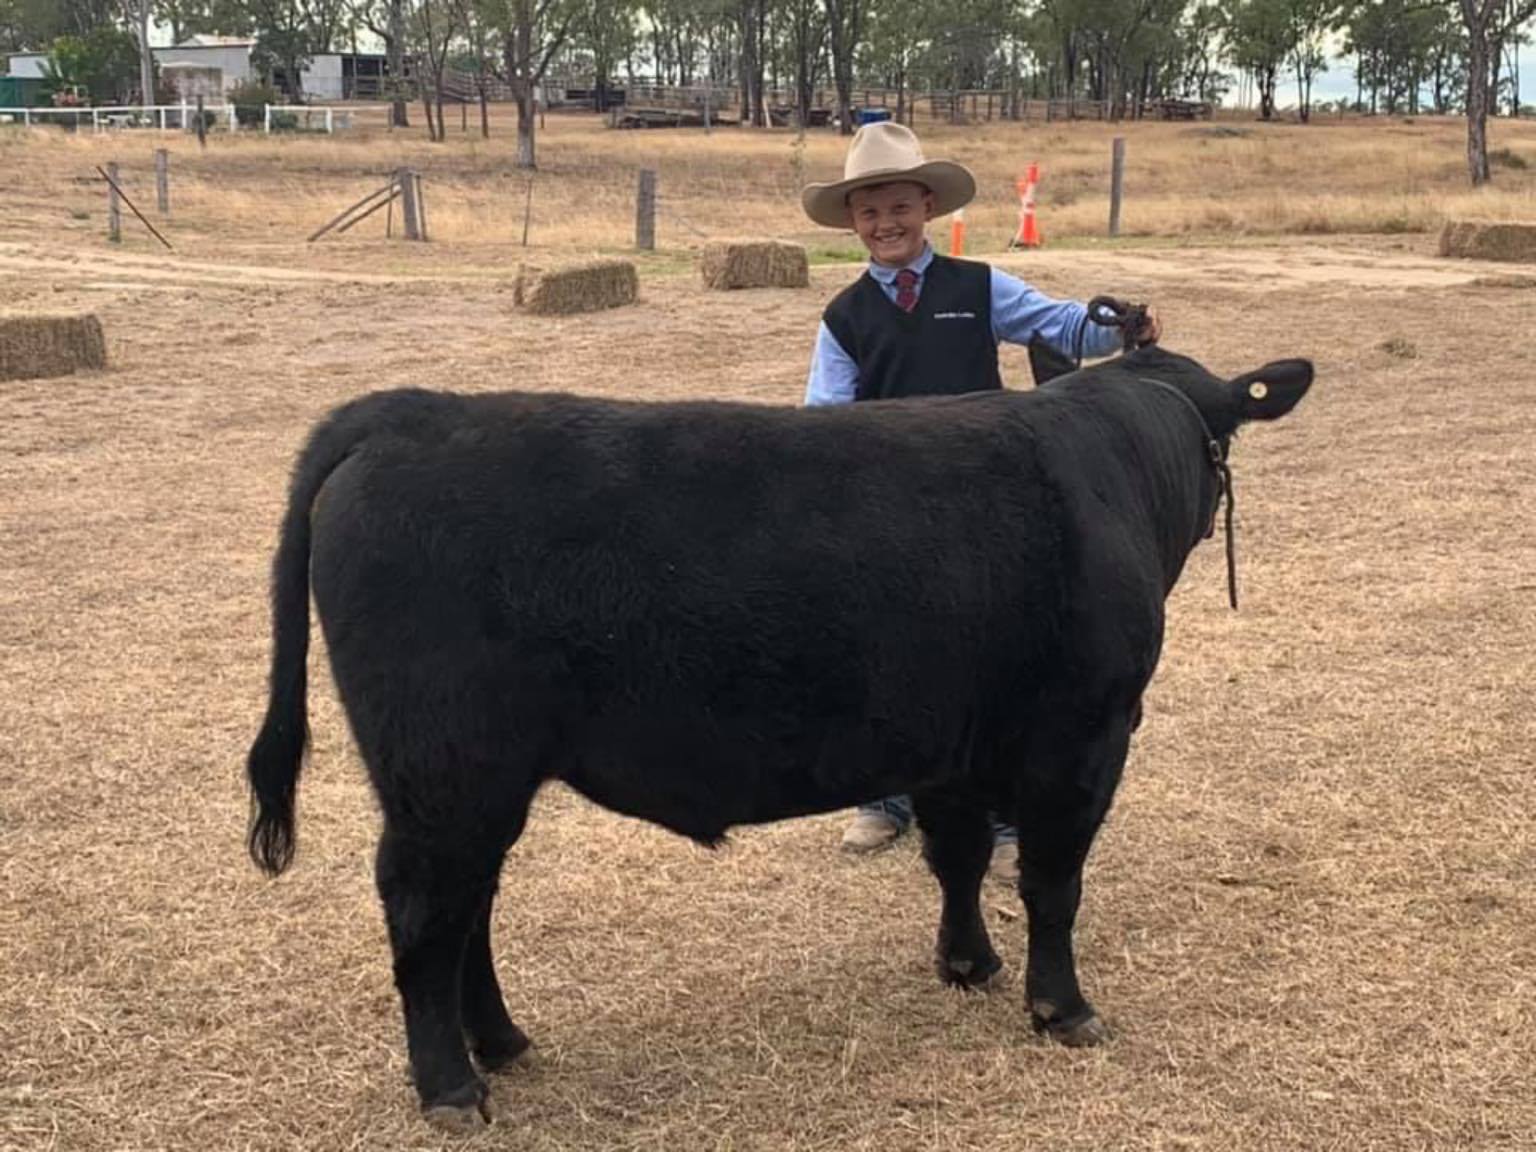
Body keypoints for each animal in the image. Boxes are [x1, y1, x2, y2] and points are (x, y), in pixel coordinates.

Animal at [245, 345, 1313, 1130]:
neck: (1113, 460)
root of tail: (409, 412)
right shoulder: (1083, 732)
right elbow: (1052, 882)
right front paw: (1064, 1009)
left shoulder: (952, 742)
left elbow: (959, 857)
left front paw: (967, 965)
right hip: (446, 773)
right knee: (426, 910)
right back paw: (453, 1089)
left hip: (474, 785)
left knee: (471, 907)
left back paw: (501, 1043)